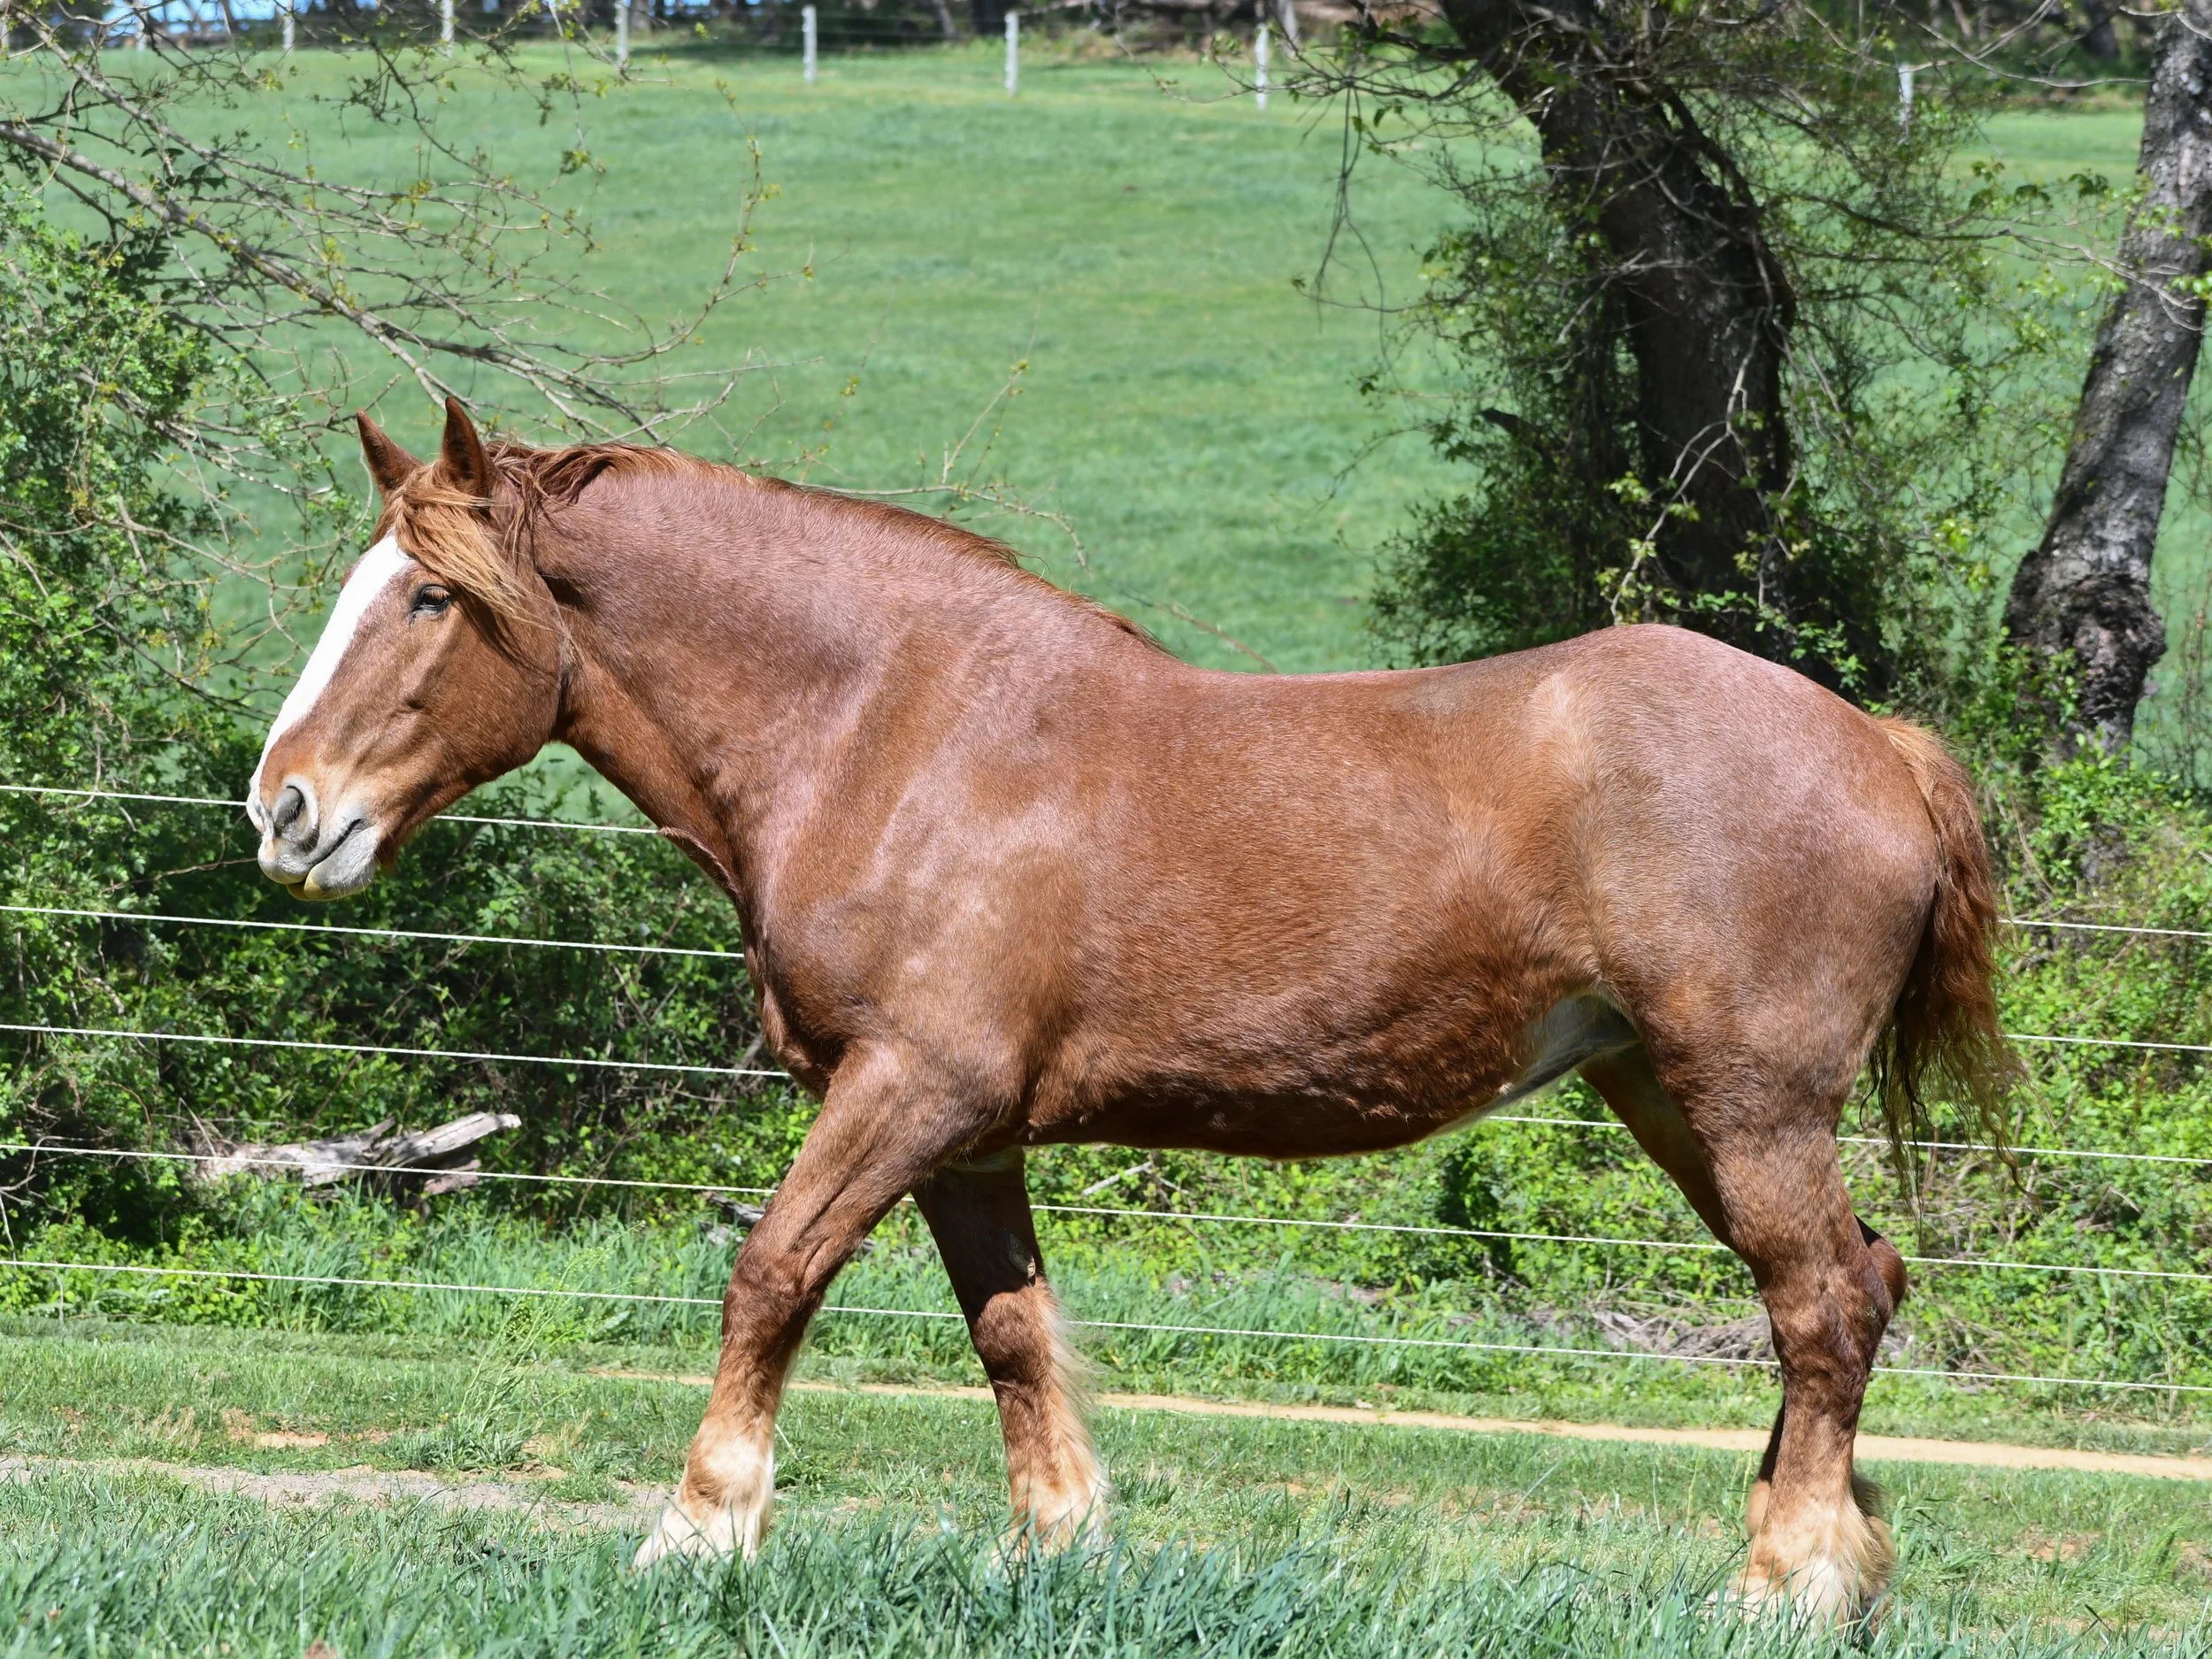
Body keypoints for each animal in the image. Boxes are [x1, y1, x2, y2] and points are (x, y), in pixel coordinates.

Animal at [247, 399, 2011, 1623]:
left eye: (426, 601)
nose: (285, 809)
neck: (892, 725)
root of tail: (1878, 744)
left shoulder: (911, 1089)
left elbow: (772, 1276)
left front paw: (698, 1531)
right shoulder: (968, 1134)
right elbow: (1013, 1332)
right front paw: (1059, 1548)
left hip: (1748, 1101)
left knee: (1820, 1309)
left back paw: (1778, 1584)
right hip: (1669, 1095)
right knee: (1857, 1286)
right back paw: (1837, 1559)